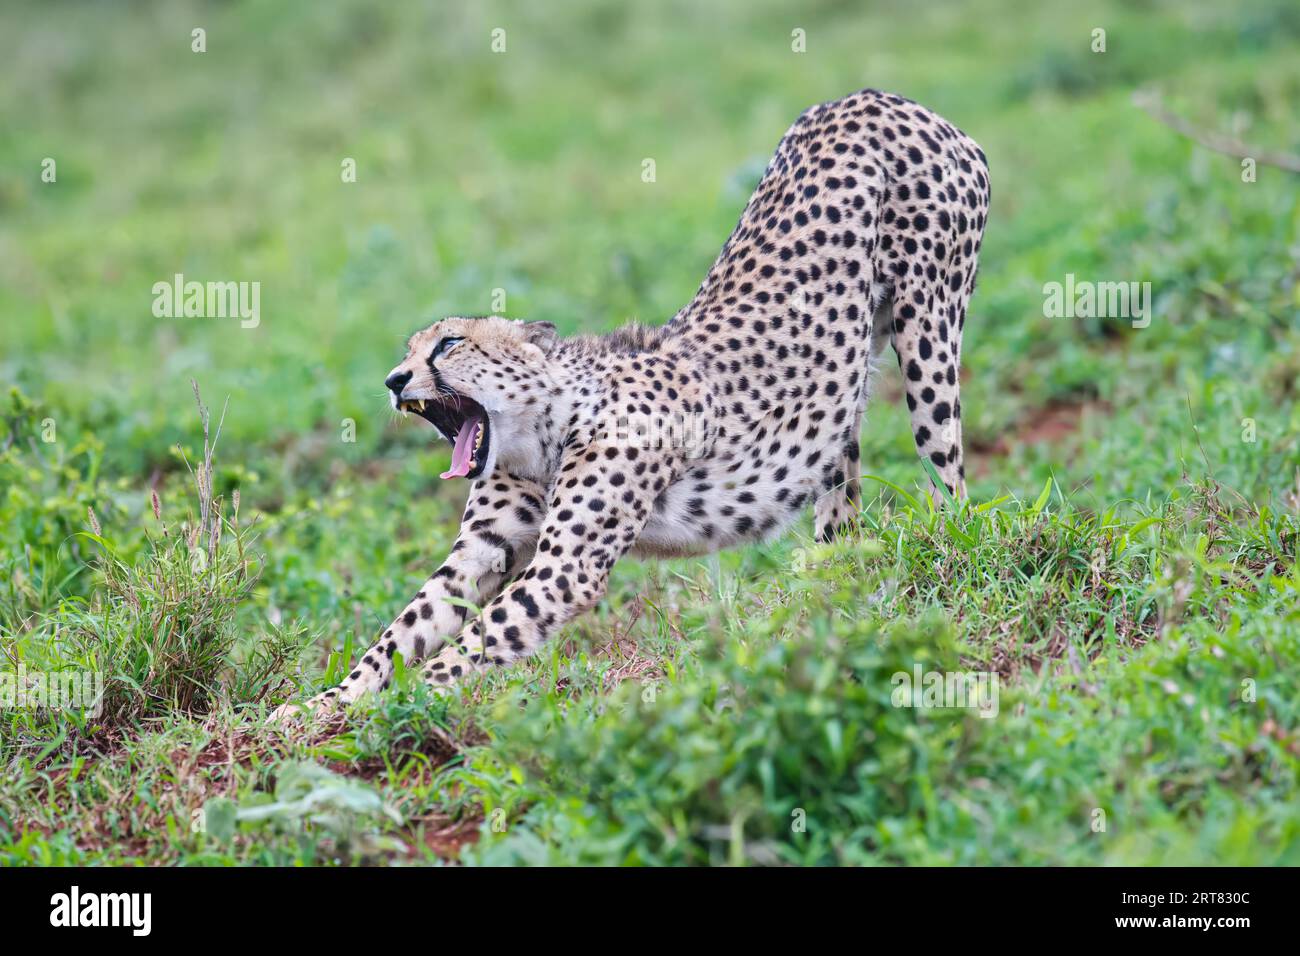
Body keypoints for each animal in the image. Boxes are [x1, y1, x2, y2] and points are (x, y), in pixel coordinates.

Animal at [271, 87, 989, 721]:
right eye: (410, 351)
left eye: (448, 344)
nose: (395, 380)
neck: (542, 430)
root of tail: (876, 97)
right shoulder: (484, 551)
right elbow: (405, 629)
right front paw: (320, 707)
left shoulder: (566, 566)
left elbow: (476, 639)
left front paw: (408, 702)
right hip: (845, 397)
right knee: (843, 506)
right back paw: (828, 595)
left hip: (929, 337)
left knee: (950, 484)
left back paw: (942, 562)